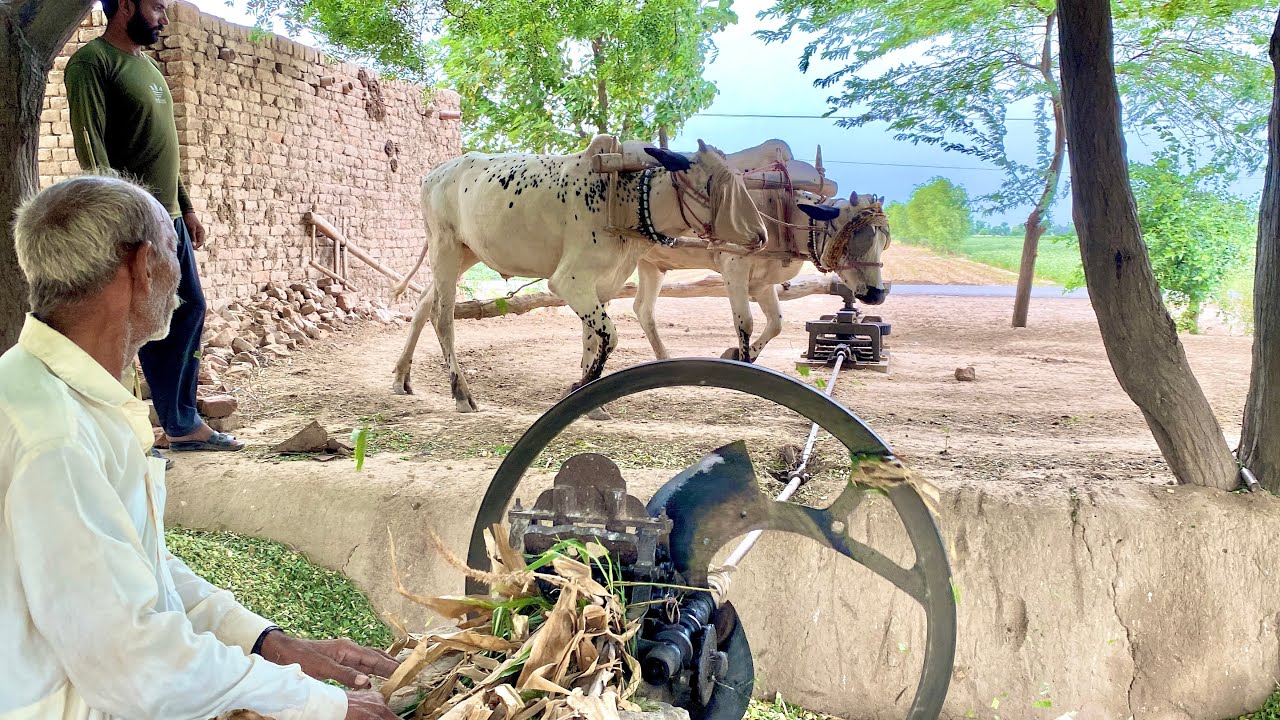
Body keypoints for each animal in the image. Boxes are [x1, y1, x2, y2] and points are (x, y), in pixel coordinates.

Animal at [388, 136, 769, 419]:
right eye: (713, 182)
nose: (762, 235)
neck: (626, 195)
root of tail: (432, 174)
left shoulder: (601, 287)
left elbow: (592, 340)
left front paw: (591, 402)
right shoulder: (569, 281)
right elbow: (610, 337)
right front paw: (578, 388)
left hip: (465, 252)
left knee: (423, 303)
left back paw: (401, 377)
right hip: (445, 246)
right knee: (443, 316)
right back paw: (461, 393)